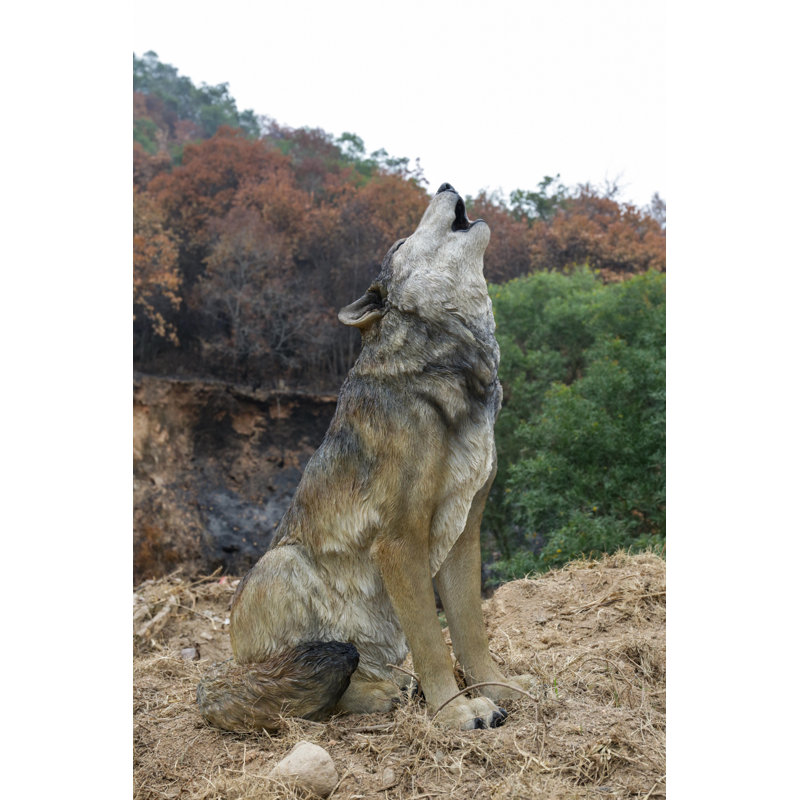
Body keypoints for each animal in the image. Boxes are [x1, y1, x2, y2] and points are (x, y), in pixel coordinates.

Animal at [197, 183, 532, 731]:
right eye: (400, 243)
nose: (444, 186)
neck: (446, 375)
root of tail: (216, 680)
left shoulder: (463, 534)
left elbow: (471, 634)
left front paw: (500, 689)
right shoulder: (399, 539)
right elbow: (432, 643)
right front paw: (455, 711)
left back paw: (395, 686)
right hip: (282, 564)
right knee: (303, 695)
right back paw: (380, 695)